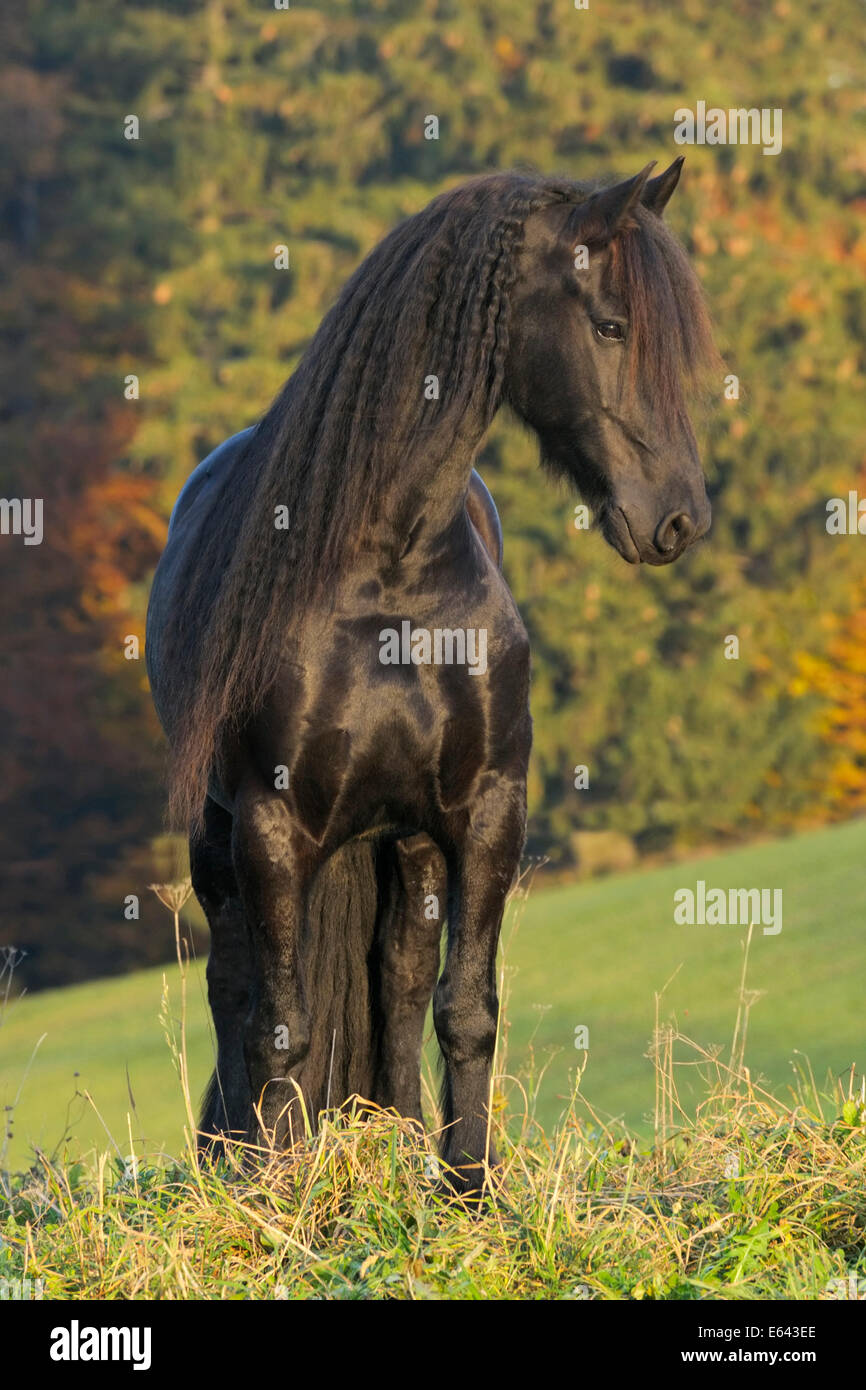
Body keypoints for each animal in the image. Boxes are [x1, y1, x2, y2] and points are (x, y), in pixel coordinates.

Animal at [145, 159, 717, 1190]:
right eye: (612, 326)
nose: (680, 518)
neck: (390, 569)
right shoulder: (271, 829)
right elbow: (279, 1024)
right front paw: (280, 1196)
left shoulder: (486, 810)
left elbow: (463, 1009)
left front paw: (467, 1187)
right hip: (220, 841)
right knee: (234, 985)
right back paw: (236, 1162)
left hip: (407, 844)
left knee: (399, 981)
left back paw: (398, 1135)